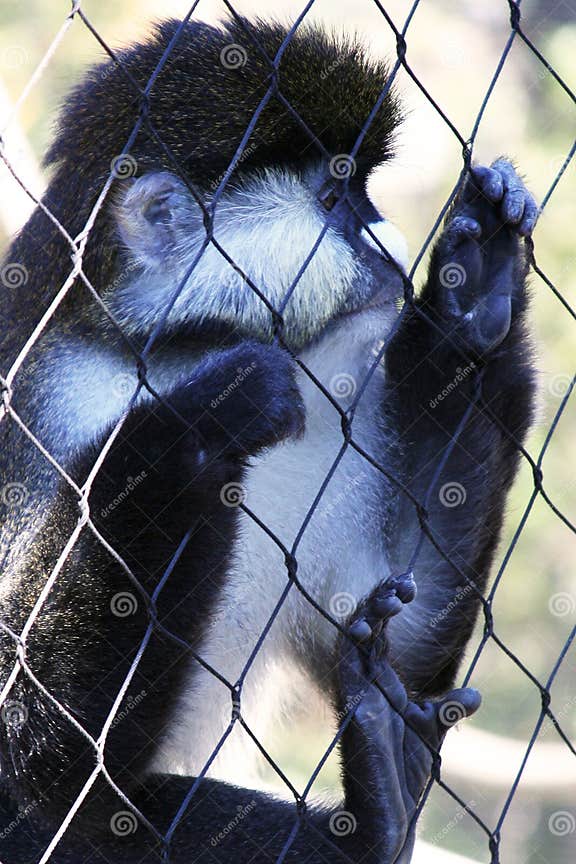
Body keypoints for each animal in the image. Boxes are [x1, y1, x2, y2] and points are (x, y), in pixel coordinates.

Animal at [0, 14, 537, 863]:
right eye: (334, 196)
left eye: (360, 190)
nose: (386, 241)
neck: (174, 345)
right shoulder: (40, 400)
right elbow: (35, 743)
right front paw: (197, 424)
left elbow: (405, 630)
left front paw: (471, 299)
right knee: (55, 812)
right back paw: (371, 825)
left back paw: (384, 783)